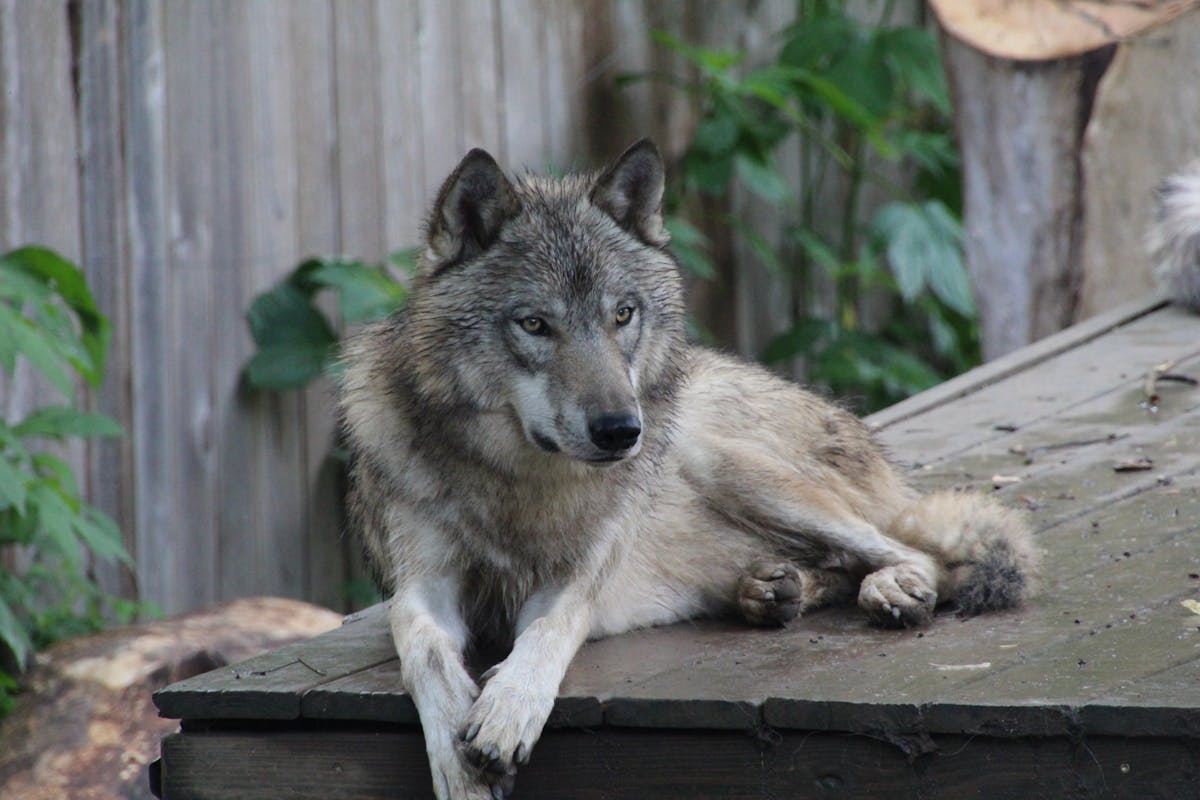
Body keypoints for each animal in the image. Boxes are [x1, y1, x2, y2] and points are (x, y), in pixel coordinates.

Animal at [338, 140, 1039, 799]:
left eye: (622, 314)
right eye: (535, 324)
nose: (621, 431)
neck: (520, 485)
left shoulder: (573, 581)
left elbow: (546, 634)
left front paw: (506, 713)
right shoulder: (423, 585)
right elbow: (420, 644)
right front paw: (459, 762)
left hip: (717, 460)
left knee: (917, 554)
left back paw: (886, 589)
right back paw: (775, 590)